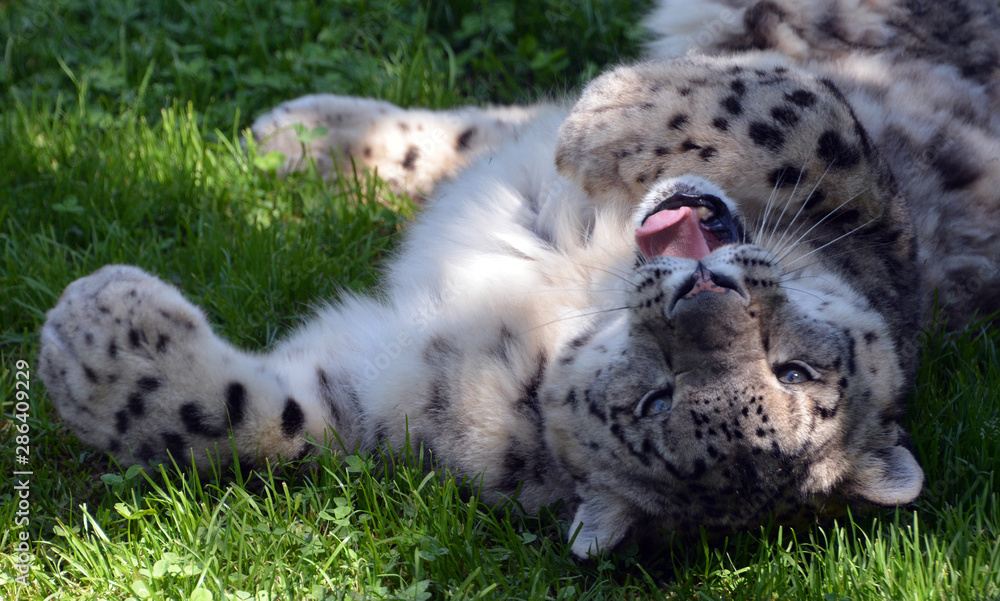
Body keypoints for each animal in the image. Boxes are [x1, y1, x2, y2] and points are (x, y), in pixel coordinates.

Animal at [38, 0, 1000, 557]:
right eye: (792, 367)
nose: (705, 294)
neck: (575, 288)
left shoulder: (383, 403)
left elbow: (266, 426)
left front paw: (88, 335)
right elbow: (809, 111)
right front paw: (612, 110)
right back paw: (302, 131)